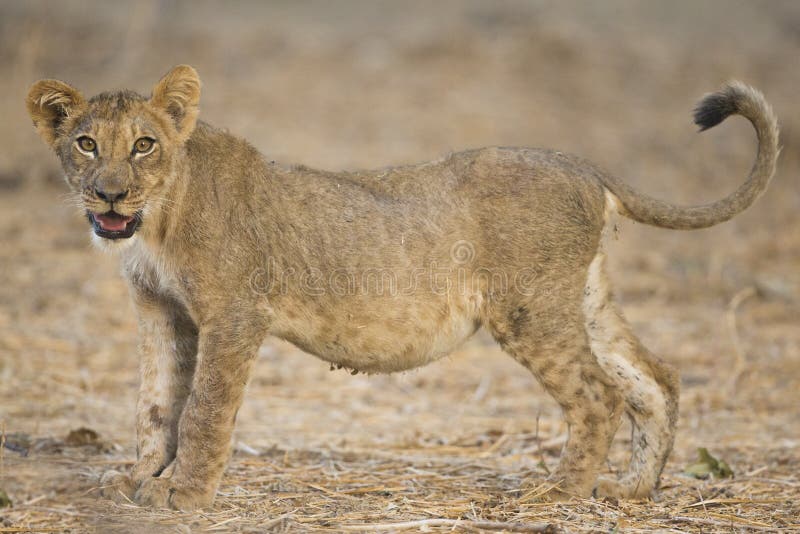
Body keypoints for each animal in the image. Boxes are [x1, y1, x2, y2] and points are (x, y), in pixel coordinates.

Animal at [26, 65, 778, 510]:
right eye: (87, 144)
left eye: (144, 144)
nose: (110, 195)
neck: (158, 220)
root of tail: (581, 163)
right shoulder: (162, 314)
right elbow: (155, 407)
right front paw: (135, 480)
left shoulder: (236, 315)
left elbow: (203, 410)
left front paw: (184, 496)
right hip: (581, 300)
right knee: (655, 381)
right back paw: (630, 488)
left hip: (528, 309)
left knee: (598, 395)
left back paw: (557, 495)